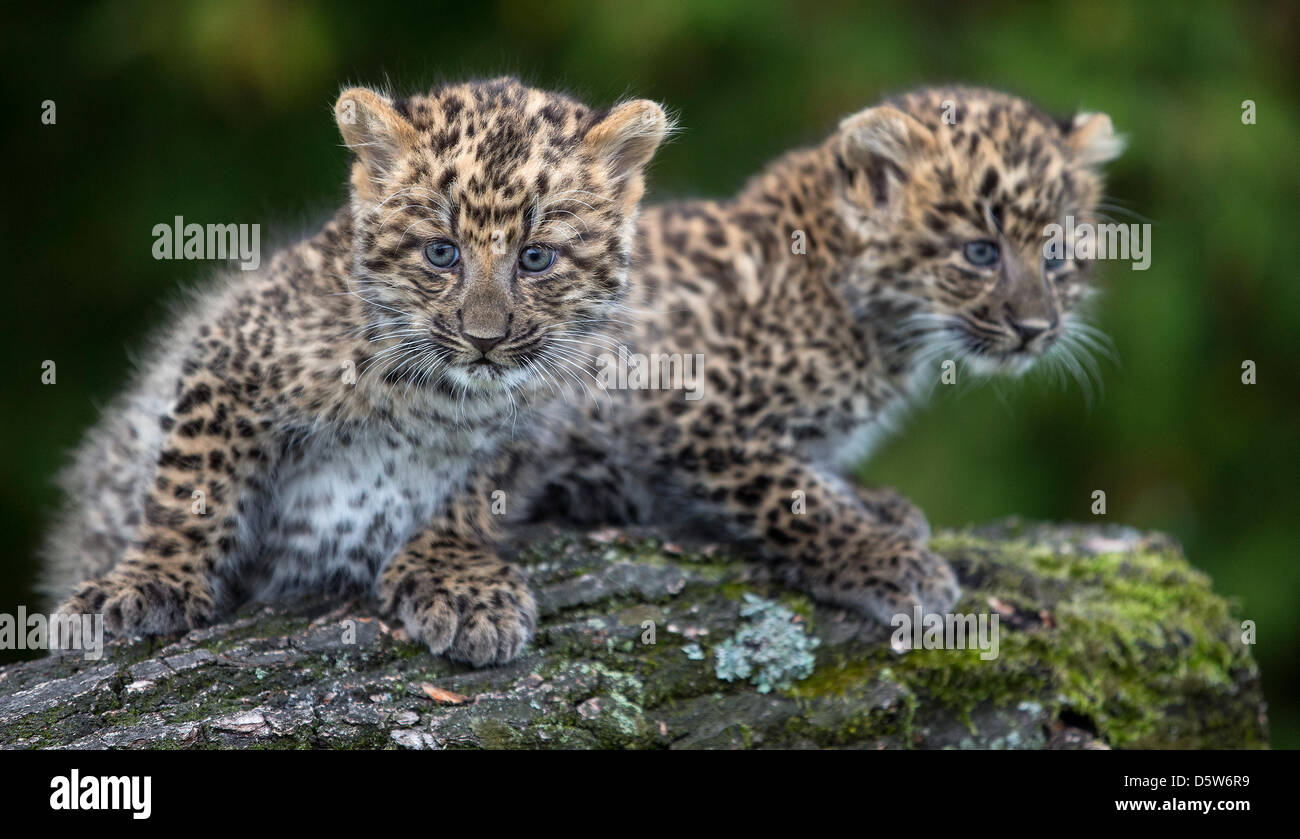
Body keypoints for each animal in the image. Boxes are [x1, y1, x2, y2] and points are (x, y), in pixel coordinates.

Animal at [40, 77, 670, 666]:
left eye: (536, 258)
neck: (441, 401)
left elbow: (471, 499)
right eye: (441, 253)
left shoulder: (526, 428)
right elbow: (191, 489)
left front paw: (458, 580)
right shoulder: (231, 356)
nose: (484, 340)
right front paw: (148, 582)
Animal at [520, 86, 1123, 628]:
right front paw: (890, 563)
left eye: (1056, 256)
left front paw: (880, 506)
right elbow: (794, 500)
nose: (1035, 329)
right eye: (980, 252)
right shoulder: (690, 412)